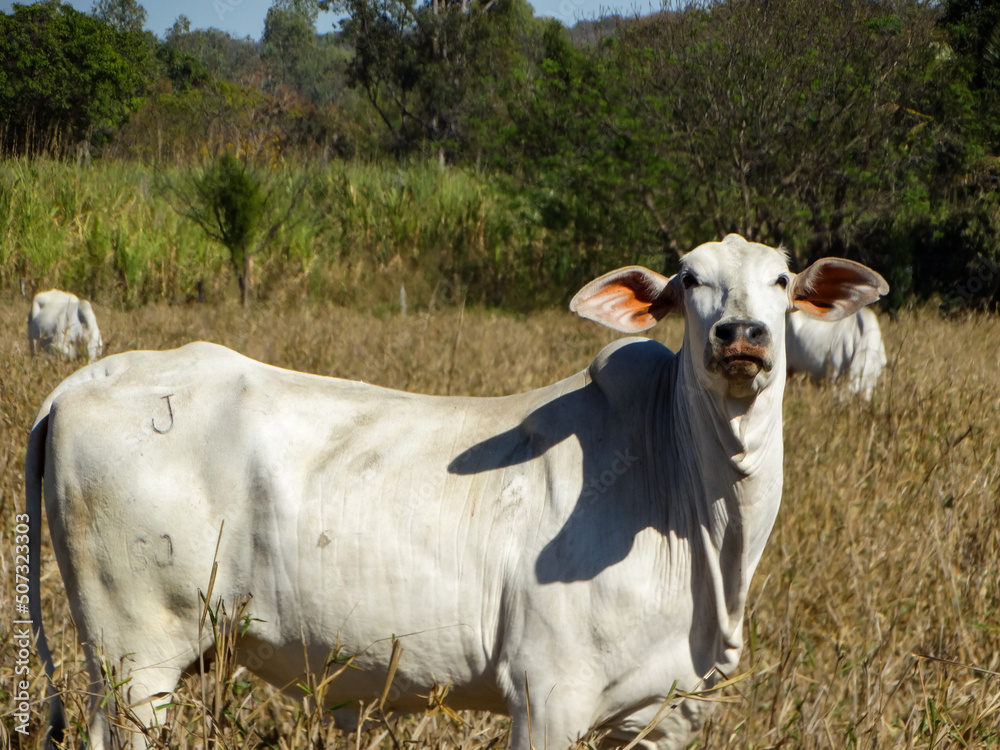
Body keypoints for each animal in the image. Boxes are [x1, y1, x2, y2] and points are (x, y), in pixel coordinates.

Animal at [27, 234, 887, 750]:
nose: (740, 335)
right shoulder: (547, 697)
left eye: (781, 280)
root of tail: (80, 383)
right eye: (690, 280)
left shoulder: (660, 716)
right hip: (132, 664)